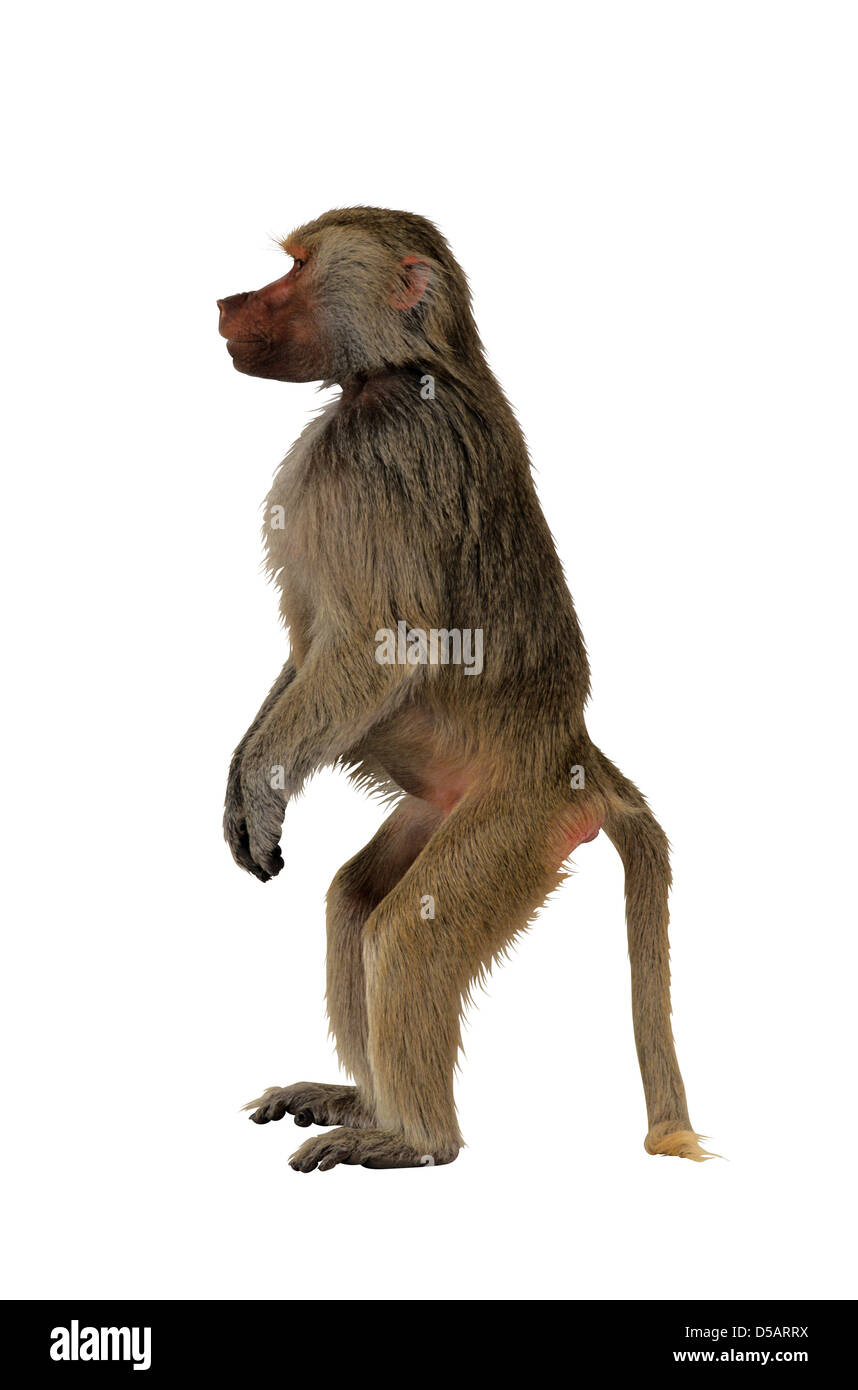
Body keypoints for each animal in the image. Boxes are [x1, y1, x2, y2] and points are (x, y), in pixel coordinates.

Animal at [217, 207, 711, 1171]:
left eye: (295, 267)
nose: (226, 303)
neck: (393, 374)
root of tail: (572, 752)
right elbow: (309, 652)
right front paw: (241, 789)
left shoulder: (384, 456)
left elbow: (384, 643)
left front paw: (259, 783)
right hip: (446, 810)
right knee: (354, 904)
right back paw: (360, 1099)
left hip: (515, 821)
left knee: (407, 933)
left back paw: (411, 1141)